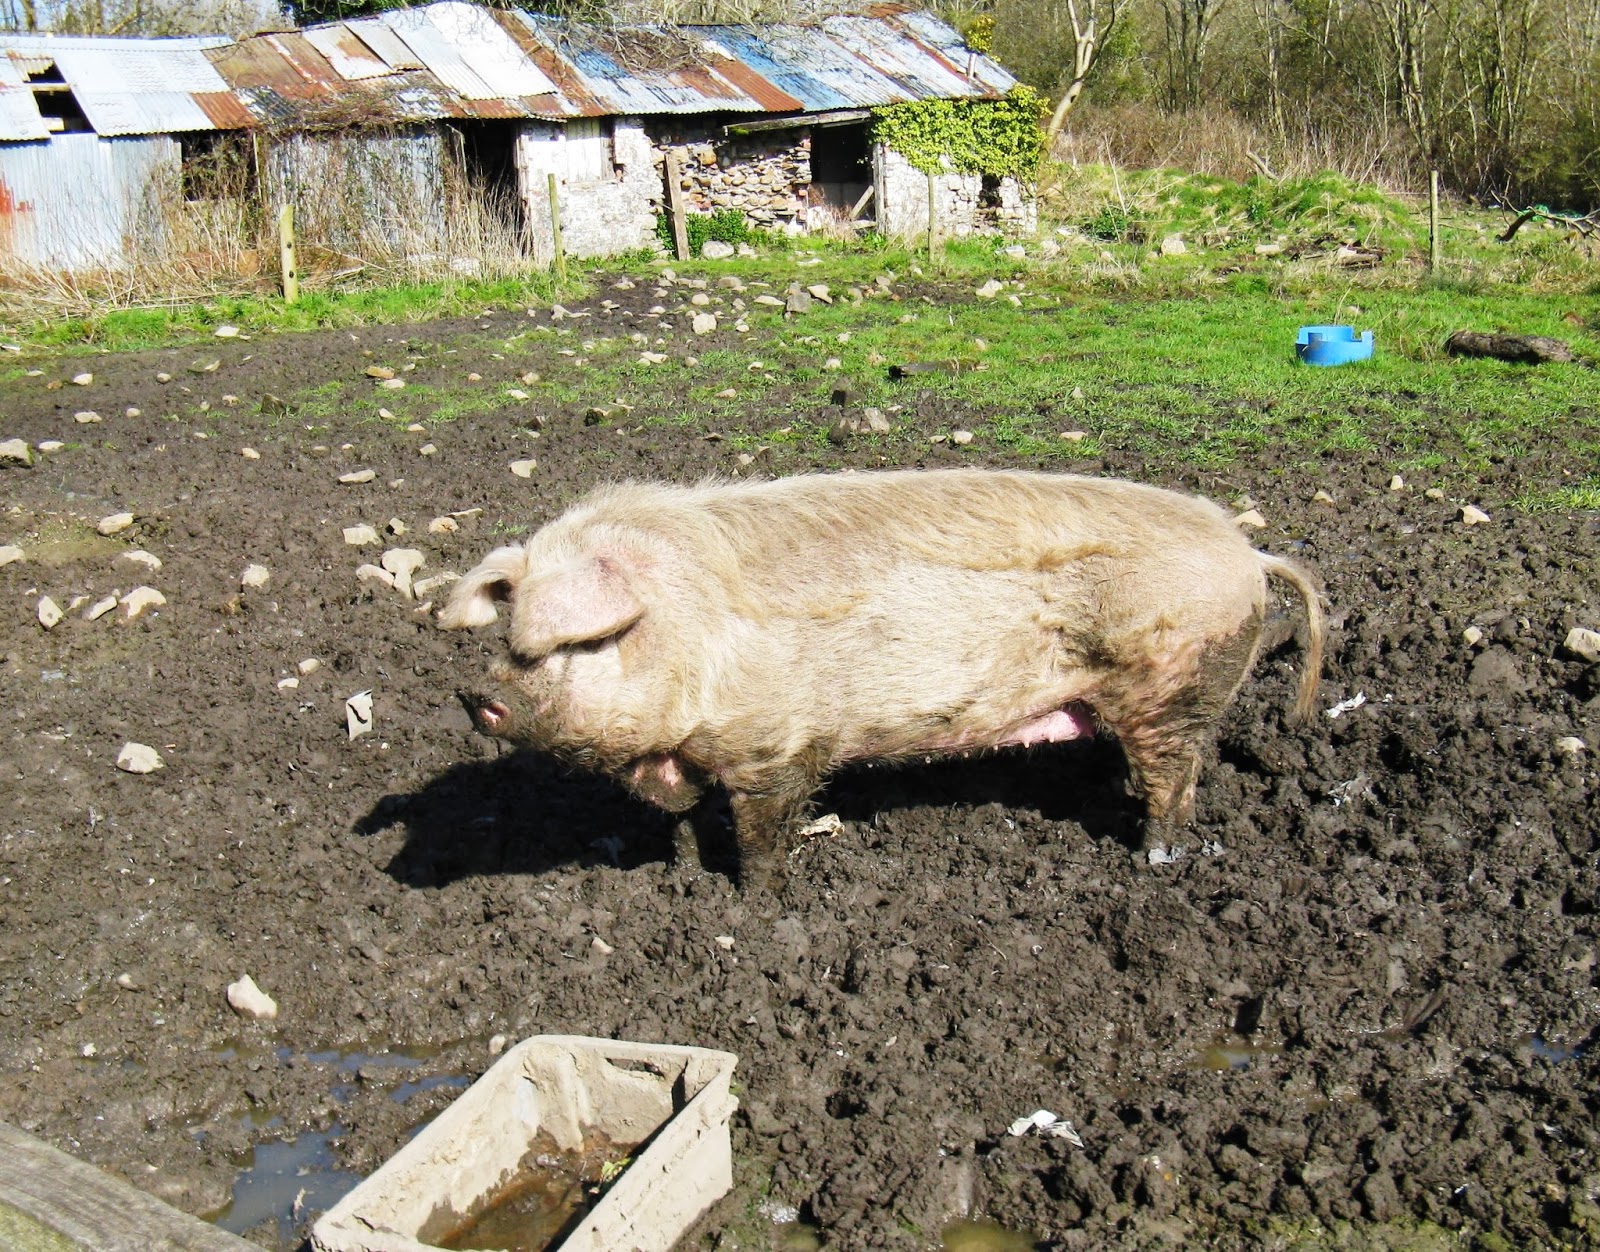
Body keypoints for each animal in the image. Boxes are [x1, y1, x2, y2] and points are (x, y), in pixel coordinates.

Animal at [439, 468, 1324, 889]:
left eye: (577, 642)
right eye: (510, 634)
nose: (477, 695)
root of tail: (1250, 552)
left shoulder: (779, 747)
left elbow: (763, 836)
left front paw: (755, 907)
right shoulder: (686, 757)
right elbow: (684, 821)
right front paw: (685, 878)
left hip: (1174, 684)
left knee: (1178, 782)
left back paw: (1153, 860)